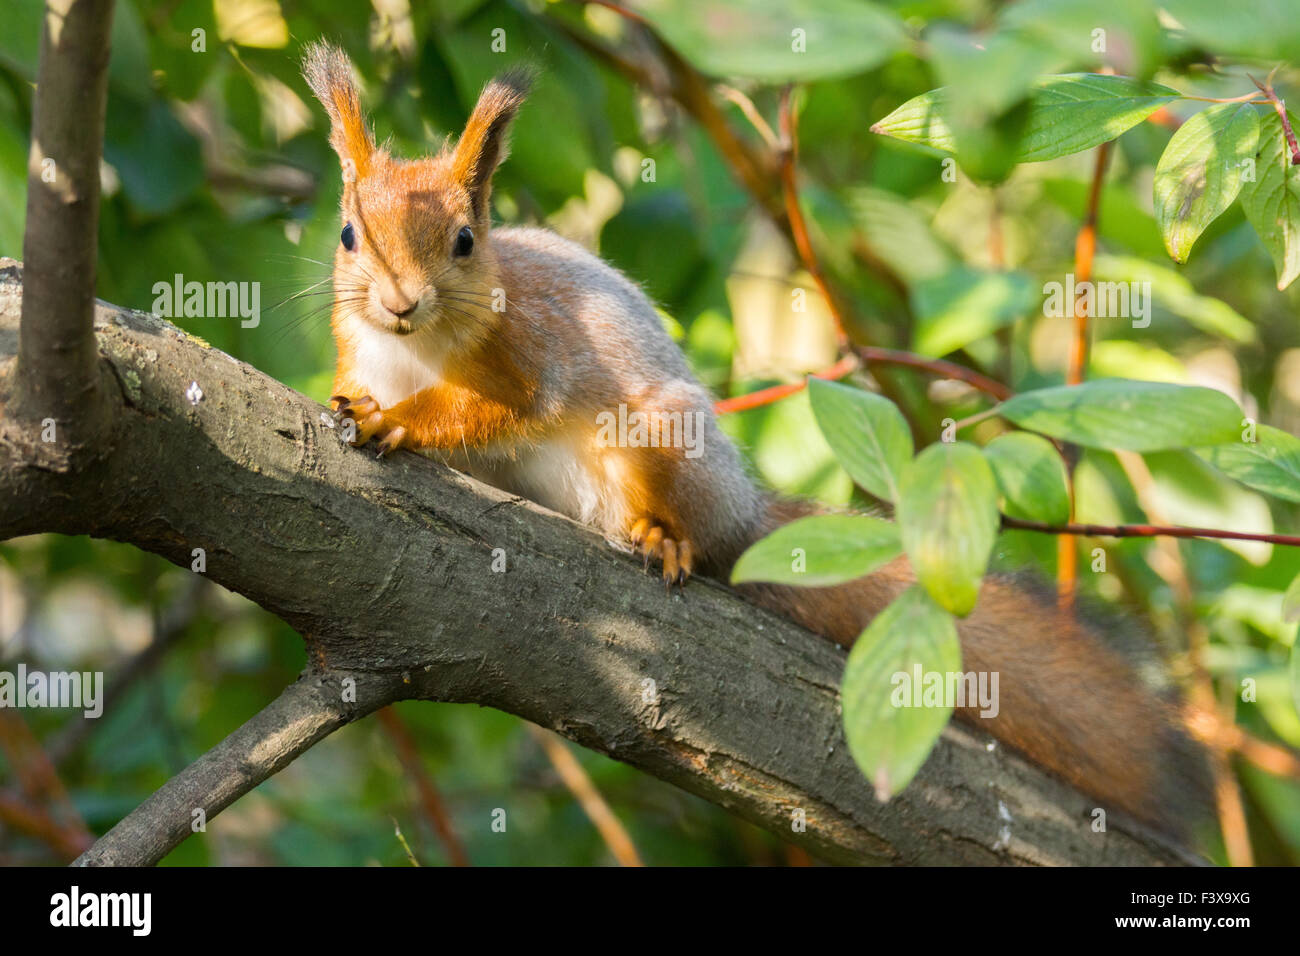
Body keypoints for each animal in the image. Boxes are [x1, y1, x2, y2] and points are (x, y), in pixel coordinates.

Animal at [301, 43, 1209, 839]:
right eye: (348, 235)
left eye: (464, 240)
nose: (400, 302)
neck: (412, 350)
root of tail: (745, 517)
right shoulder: (358, 344)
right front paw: (351, 400)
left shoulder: (528, 355)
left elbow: (491, 408)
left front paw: (395, 420)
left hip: (664, 439)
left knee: (690, 530)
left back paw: (662, 537)